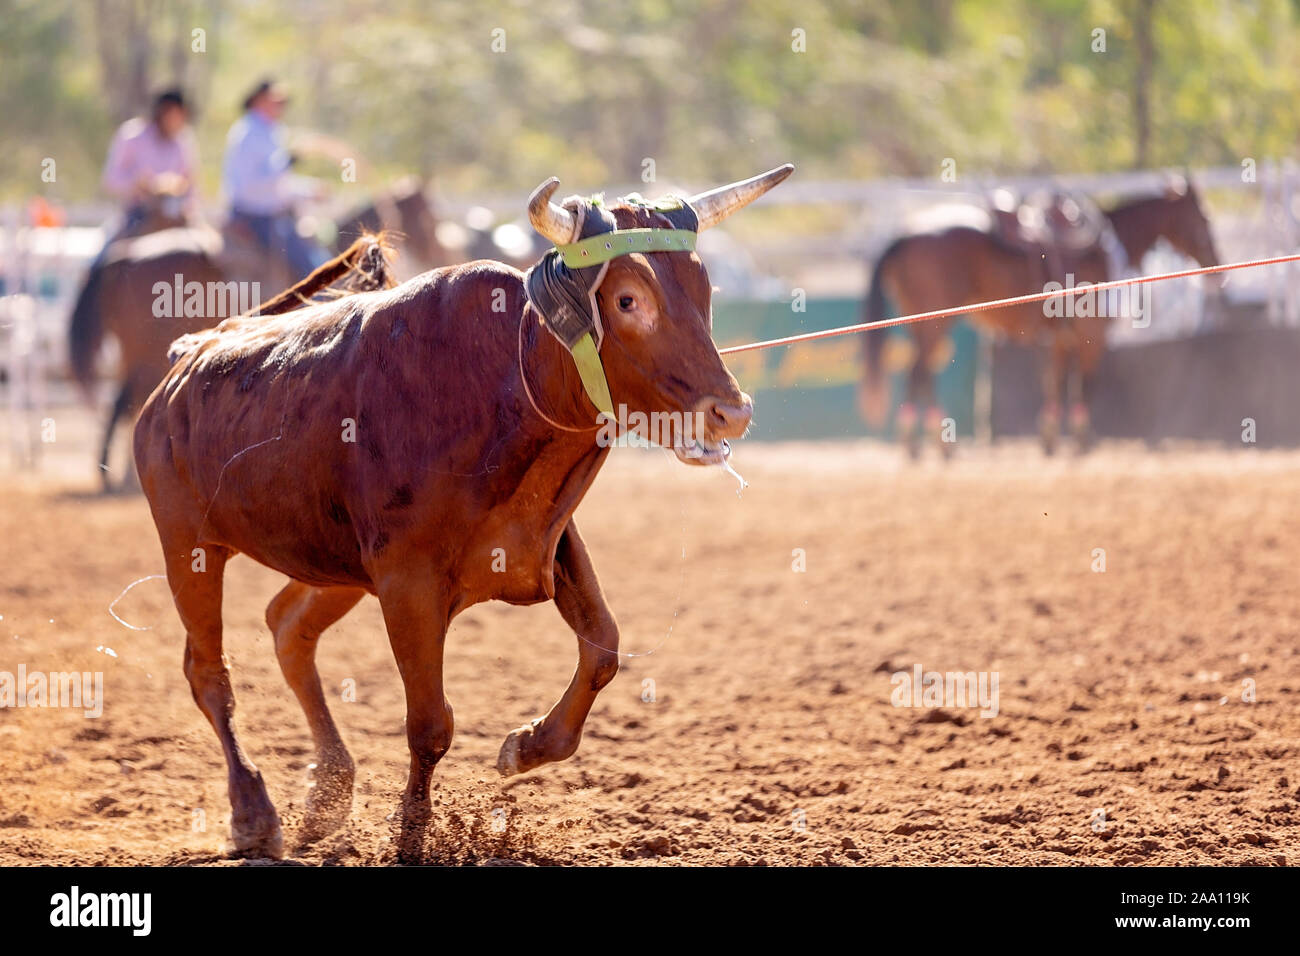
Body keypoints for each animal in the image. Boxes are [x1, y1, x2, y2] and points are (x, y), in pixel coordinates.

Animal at [133, 164, 794, 859]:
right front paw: (413, 831)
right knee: (209, 674)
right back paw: (253, 811)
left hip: (334, 566)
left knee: (287, 627)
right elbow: (430, 723)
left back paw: (328, 790)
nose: (731, 411)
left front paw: (526, 745)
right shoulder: (408, 582)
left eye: (703, 289)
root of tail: (190, 355)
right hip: (189, 547)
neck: (502, 383)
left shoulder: (548, 541)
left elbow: (604, 649)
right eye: (627, 300)